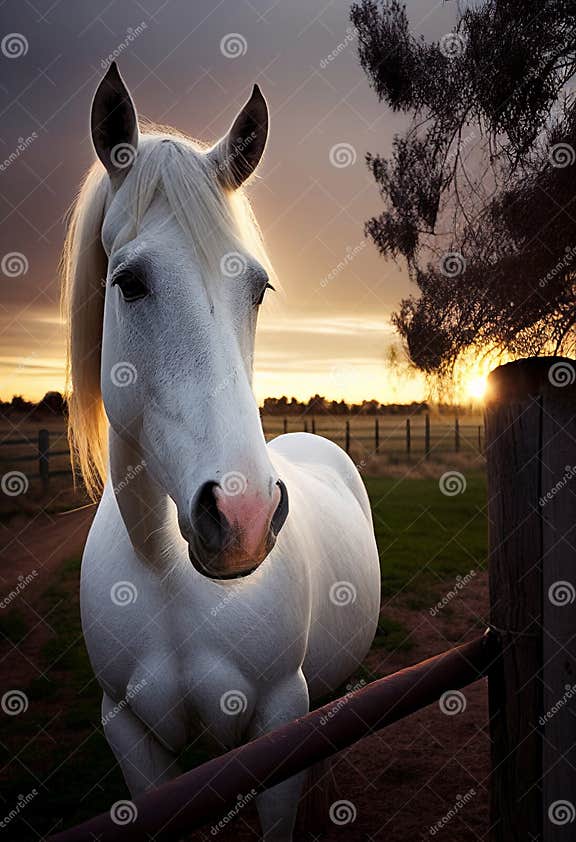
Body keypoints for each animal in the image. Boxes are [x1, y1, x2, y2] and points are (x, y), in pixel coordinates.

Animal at [62, 61, 380, 841]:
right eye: (129, 282)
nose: (243, 517)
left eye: (258, 289)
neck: (164, 572)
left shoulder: (279, 714)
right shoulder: (129, 734)